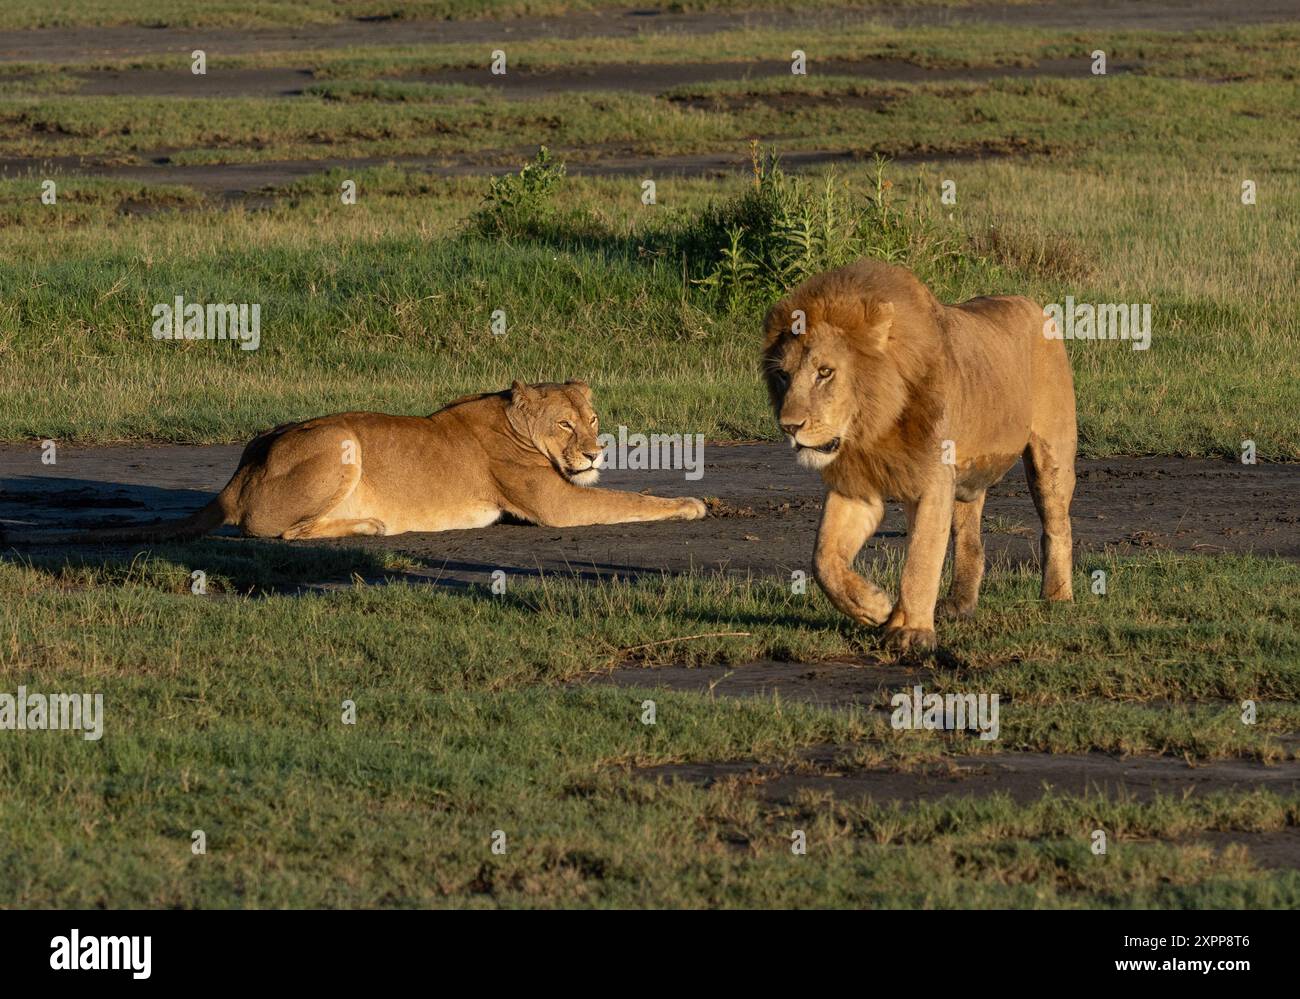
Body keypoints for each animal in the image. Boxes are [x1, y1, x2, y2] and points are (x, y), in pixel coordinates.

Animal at [77, 381, 706, 542]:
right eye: (566, 426)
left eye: (593, 419)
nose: (597, 450)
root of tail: (241, 469)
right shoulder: (554, 502)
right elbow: (626, 500)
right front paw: (691, 504)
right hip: (342, 443)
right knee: (275, 532)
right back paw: (370, 524)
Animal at [762, 259, 1076, 653]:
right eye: (783, 375)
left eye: (825, 372)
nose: (789, 426)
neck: (873, 424)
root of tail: (1035, 306)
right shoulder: (856, 486)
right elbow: (824, 559)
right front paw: (877, 608)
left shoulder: (933, 482)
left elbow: (921, 559)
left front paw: (911, 631)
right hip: (966, 474)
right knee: (970, 538)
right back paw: (958, 605)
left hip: (1050, 458)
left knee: (1057, 525)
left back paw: (1057, 597)